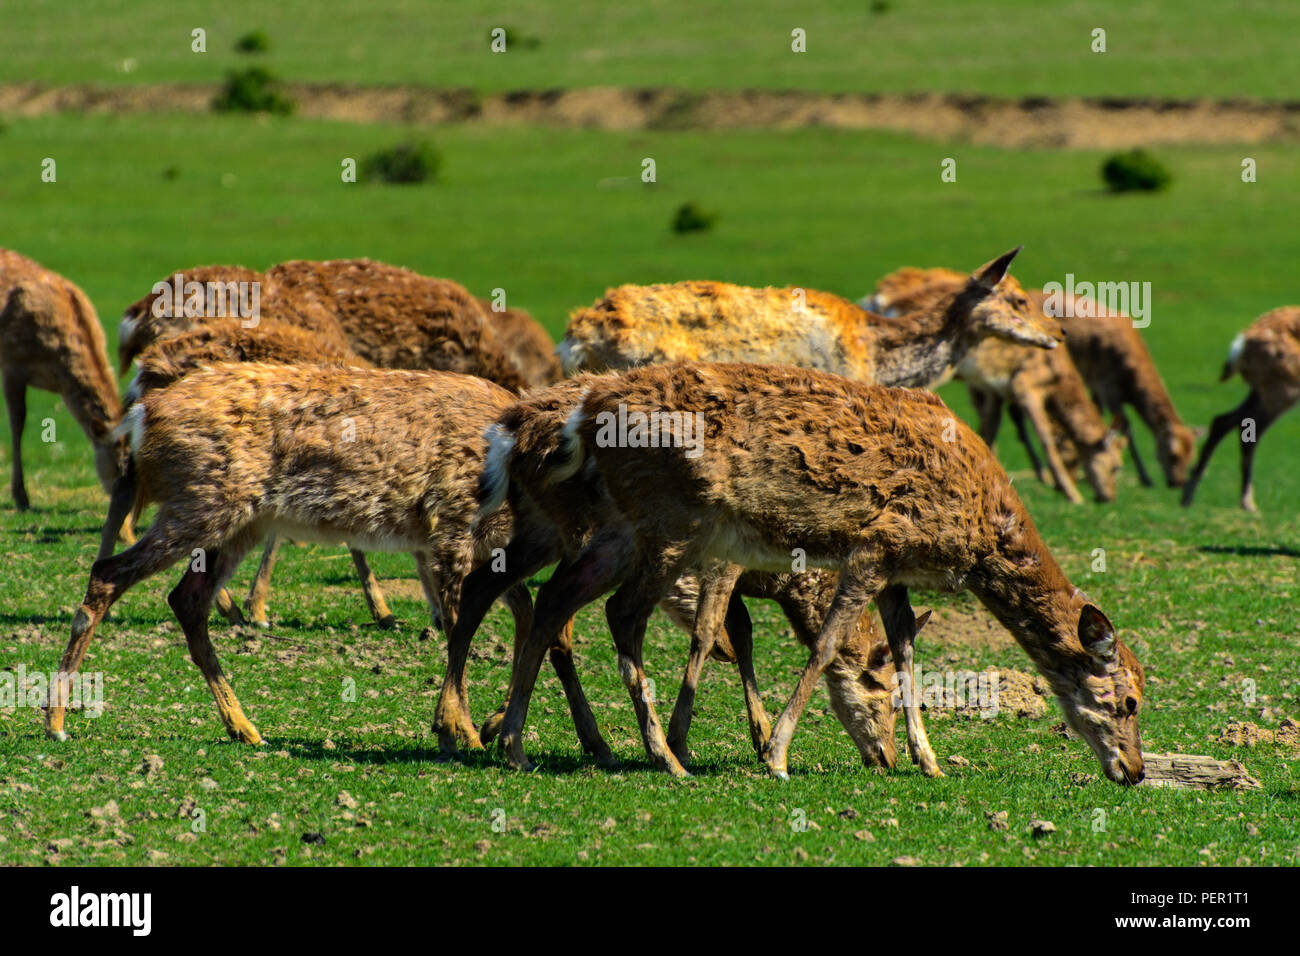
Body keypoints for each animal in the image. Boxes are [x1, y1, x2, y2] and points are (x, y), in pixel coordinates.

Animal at [45, 363, 542, 751]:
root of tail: (142, 415)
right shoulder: (453, 528)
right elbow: (463, 628)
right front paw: (463, 732)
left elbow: (524, 611)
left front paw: (486, 724)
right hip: (202, 502)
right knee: (108, 572)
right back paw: (56, 722)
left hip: (240, 520)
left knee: (186, 598)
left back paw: (244, 728)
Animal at [486, 362, 1146, 785]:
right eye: (1131, 701)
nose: (1135, 771)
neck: (984, 531)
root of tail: (584, 413)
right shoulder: (875, 545)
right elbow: (828, 644)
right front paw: (775, 755)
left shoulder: (898, 566)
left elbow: (905, 650)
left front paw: (927, 761)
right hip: (676, 519)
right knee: (619, 612)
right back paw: (663, 758)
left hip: (623, 528)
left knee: (558, 597)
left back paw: (515, 746)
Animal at [1181, 306, 1300, 512]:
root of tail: (1240, 342)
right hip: (1284, 387)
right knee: (1250, 430)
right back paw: (1247, 502)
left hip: (1263, 388)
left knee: (1224, 420)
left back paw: (1190, 495)